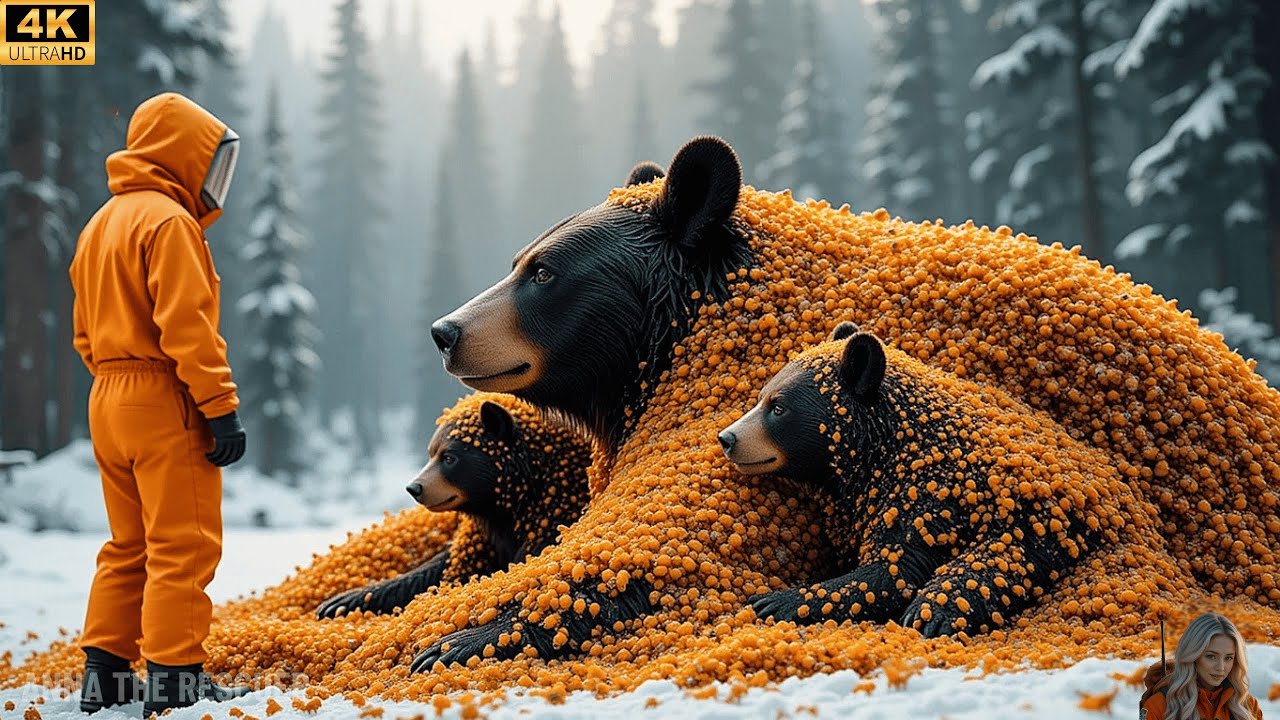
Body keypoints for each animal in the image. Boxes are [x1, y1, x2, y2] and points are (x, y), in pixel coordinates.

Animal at [315, 393, 594, 618]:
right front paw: (342, 600)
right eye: (431, 453)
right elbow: (440, 568)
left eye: (449, 457)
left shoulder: (553, 515)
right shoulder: (486, 535)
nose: (414, 488)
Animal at [719, 322, 1145, 636]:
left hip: (1056, 522)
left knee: (1011, 550)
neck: (886, 447)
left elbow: (892, 572)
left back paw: (934, 611)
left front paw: (778, 600)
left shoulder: (930, 494)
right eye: (761, 397)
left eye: (778, 407)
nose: (728, 438)